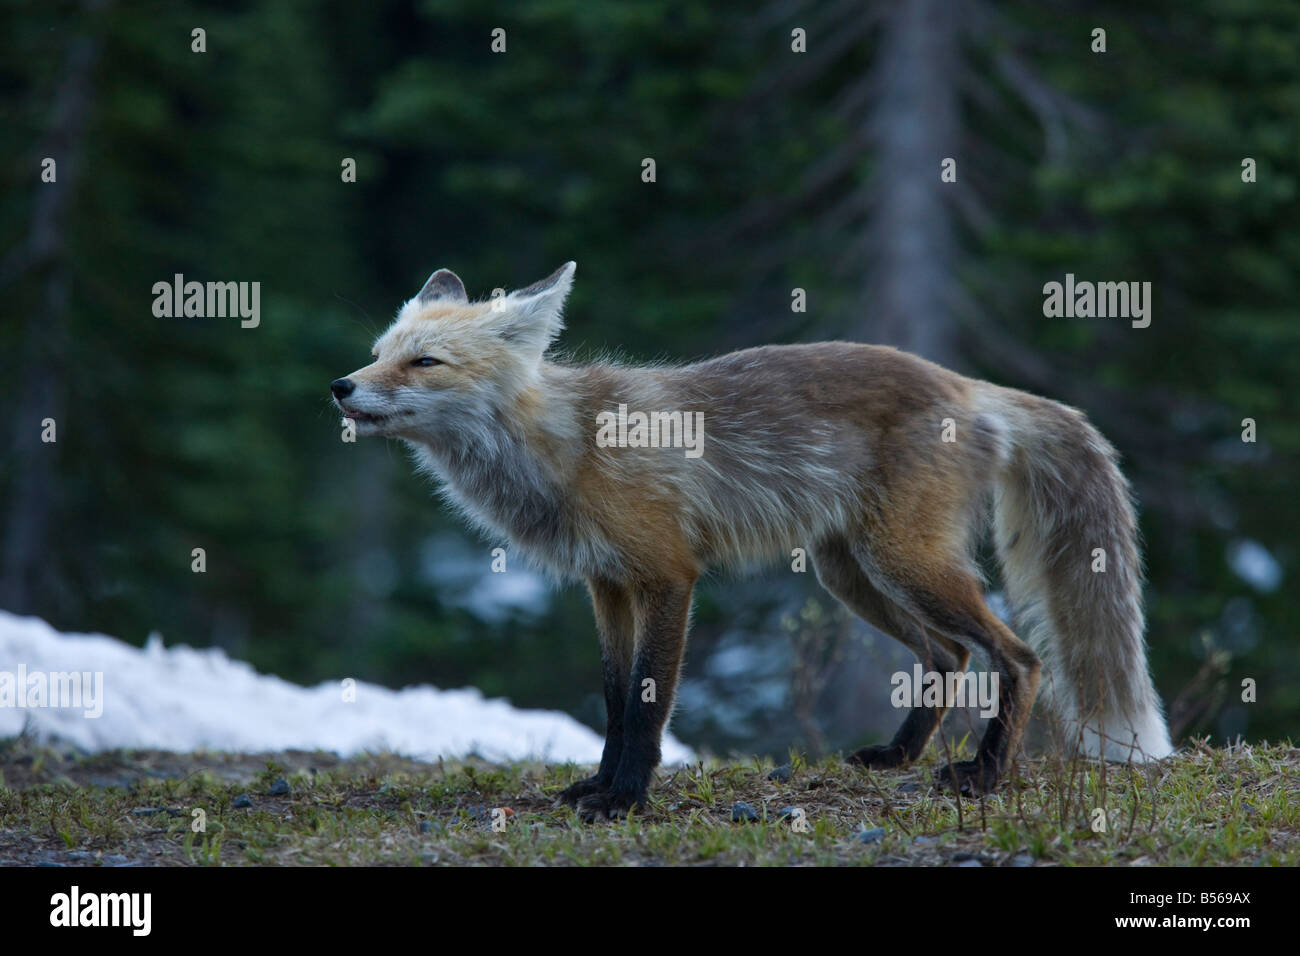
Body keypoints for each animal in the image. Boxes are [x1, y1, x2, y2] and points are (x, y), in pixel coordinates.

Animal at [331, 261, 1174, 820]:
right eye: (379, 351)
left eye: (424, 362)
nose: (341, 386)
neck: (567, 449)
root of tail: (968, 385)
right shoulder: (607, 584)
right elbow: (613, 701)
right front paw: (599, 785)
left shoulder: (669, 576)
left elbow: (648, 706)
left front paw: (626, 798)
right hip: (853, 574)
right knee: (949, 656)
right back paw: (899, 755)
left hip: (906, 564)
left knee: (1019, 658)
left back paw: (983, 774)